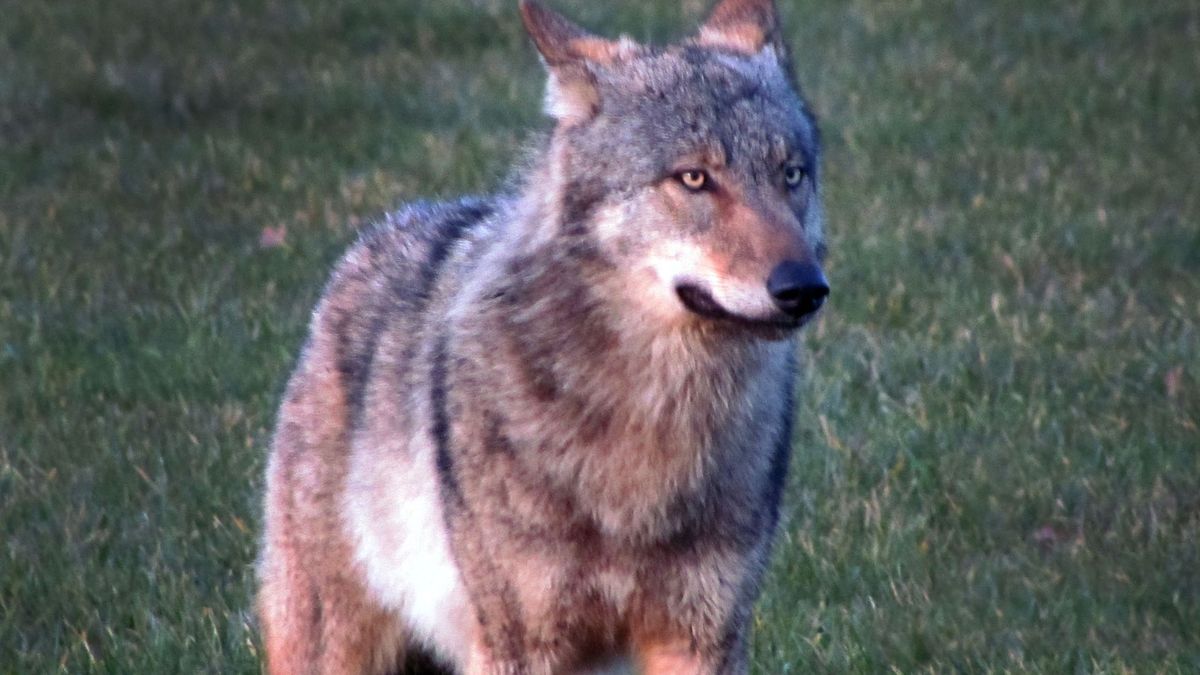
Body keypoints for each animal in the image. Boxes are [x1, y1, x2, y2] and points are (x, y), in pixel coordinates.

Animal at [257, 0, 828, 672]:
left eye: (791, 174)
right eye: (693, 179)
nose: (804, 288)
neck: (651, 417)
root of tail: (379, 235)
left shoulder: (702, 638)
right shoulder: (521, 643)